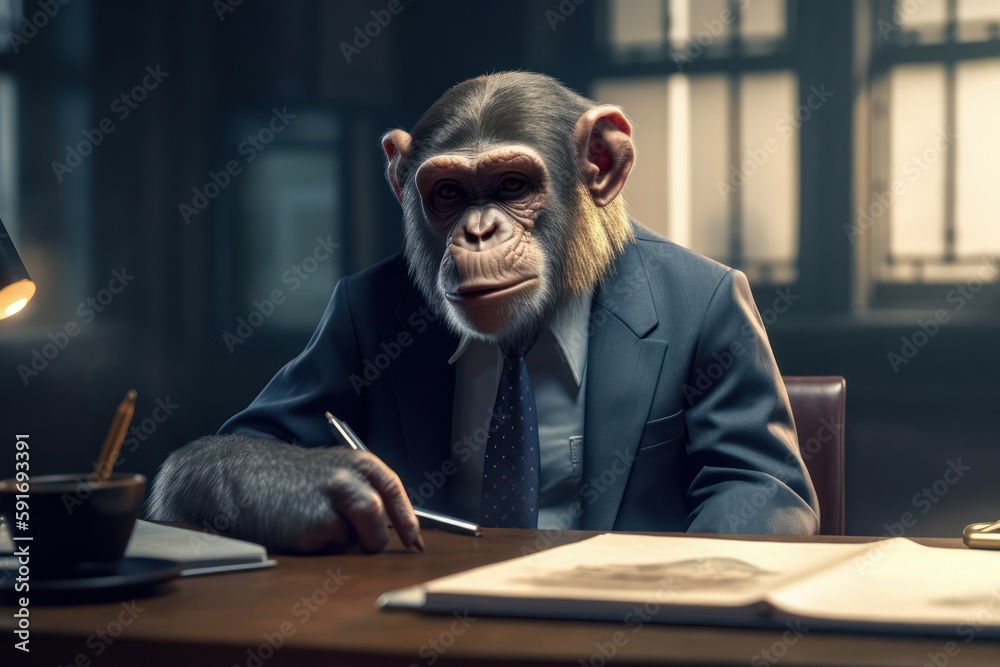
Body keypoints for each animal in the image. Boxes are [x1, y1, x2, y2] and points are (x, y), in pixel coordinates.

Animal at [146, 72, 819, 553]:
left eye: (513, 185)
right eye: (447, 193)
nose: (477, 231)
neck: (527, 335)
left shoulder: (724, 323)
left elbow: (753, 480)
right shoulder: (344, 317)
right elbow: (247, 435)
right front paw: (321, 487)